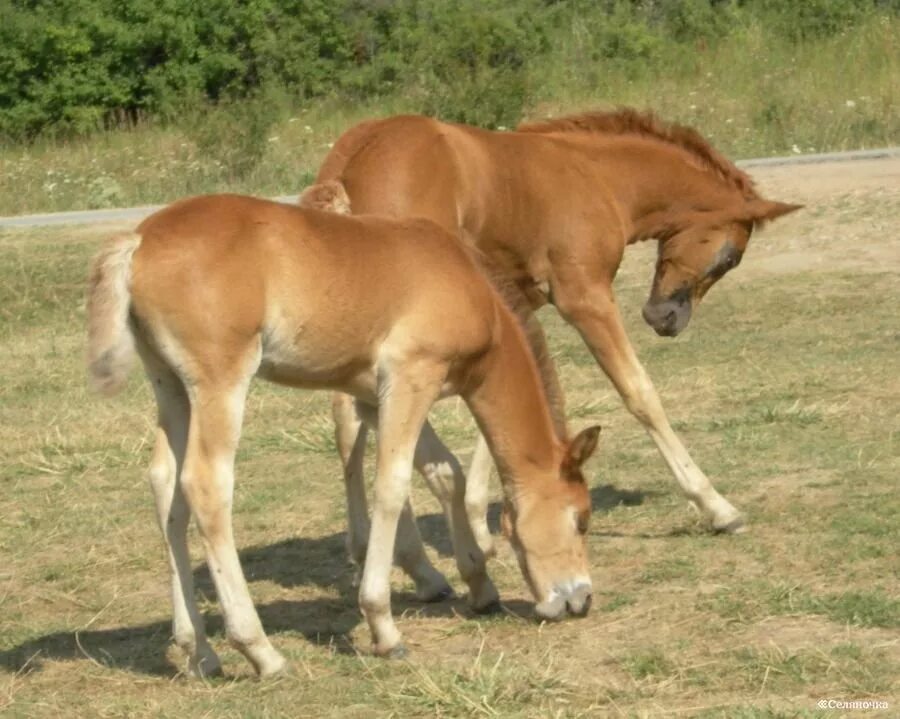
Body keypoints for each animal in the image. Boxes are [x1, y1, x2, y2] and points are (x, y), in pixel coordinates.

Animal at [88, 190, 600, 676]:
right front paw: (384, 627)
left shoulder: (377, 397)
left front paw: (479, 586)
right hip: (222, 381)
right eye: (582, 518)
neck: (470, 285)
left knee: (165, 487)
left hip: (171, 386)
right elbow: (393, 486)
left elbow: (444, 474)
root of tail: (139, 241)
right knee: (205, 486)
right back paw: (261, 652)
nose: (580, 600)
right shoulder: (412, 377)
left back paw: (199, 653)